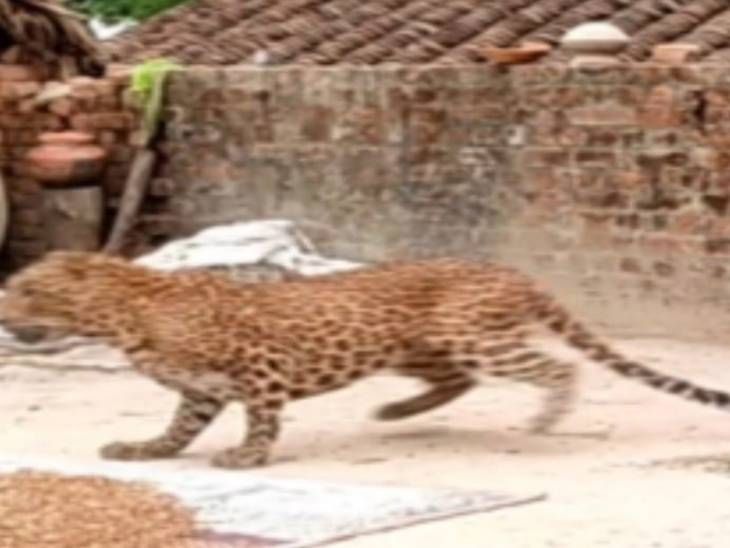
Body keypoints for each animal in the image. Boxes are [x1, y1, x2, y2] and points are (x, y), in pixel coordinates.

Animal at [1, 250, 729, 469]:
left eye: (27, 287)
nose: (4, 309)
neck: (115, 318)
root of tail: (511, 270)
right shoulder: (200, 389)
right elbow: (178, 428)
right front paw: (144, 450)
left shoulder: (257, 366)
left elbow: (261, 419)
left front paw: (247, 458)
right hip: (417, 347)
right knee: (454, 381)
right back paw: (396, 411)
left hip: (470, 334)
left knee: (557, 369)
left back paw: (546, 419)